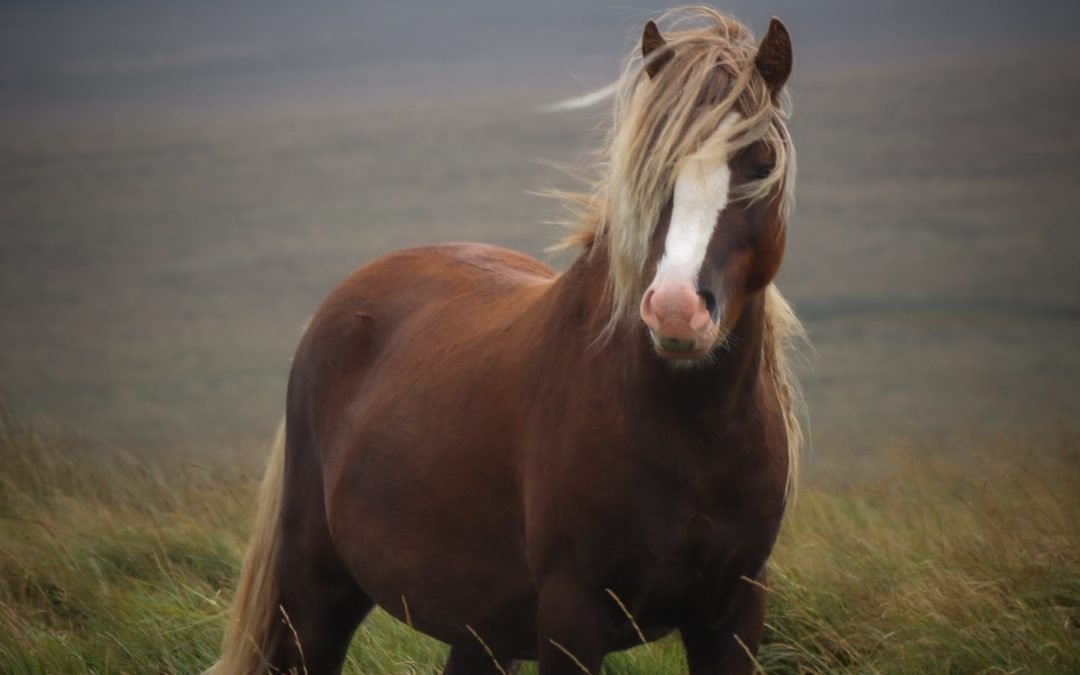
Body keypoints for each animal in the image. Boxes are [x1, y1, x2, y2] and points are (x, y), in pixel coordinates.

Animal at [209, 7, 806, 674]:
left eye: (760, 164)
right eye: (650, 167)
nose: (676, 310)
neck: (691, 433)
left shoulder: (733, 613)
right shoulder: (572, 615)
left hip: (480, 628)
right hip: (315, 592)